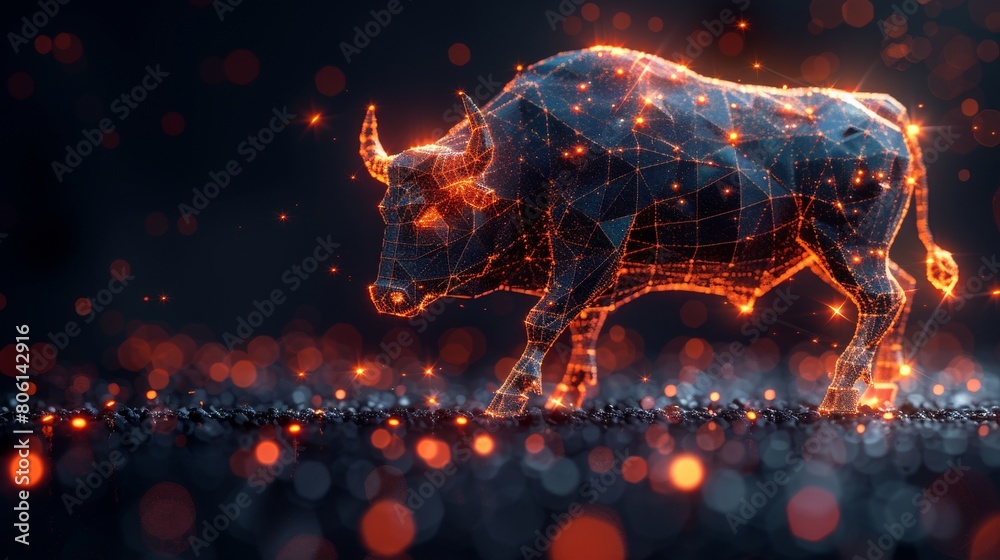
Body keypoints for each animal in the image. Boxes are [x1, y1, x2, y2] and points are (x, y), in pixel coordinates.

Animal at [358, 46, 958, 417]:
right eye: (386, 208)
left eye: (434, 212)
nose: (386, 295)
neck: (540, 148)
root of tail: (880, 109)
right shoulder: (599, 268)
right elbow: (583, 326)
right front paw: (564, 399)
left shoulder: (591, 245)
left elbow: (545, 319)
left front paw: (507, 401)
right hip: (841, 250)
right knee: (902, 292)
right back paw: (880, 393)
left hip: (846, 244)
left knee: (883, 300)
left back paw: (840, 398)